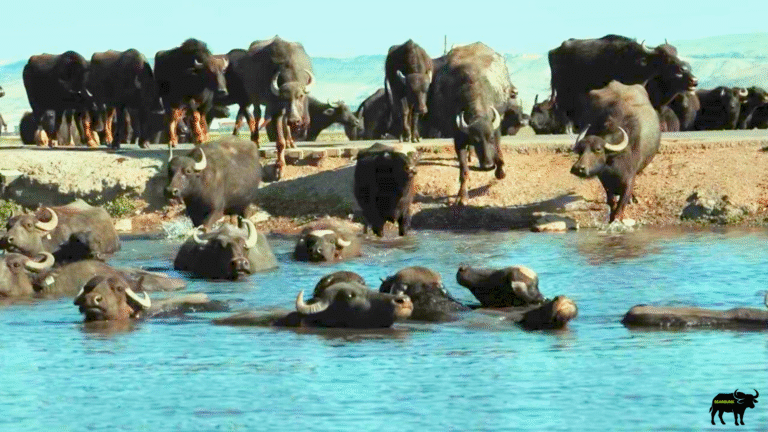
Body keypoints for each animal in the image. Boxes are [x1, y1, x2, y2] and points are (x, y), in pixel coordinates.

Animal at [428, 42, 514, 205]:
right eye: (475, 140)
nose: (488, 166)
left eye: (490, 138)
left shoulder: (496, 127)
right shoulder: (459, 138)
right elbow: (463, 169)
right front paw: (462, 196)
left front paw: (500, 170)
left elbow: (498, 148)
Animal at [570, 81, 661, 222]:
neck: (614, 161)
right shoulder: (604, 178)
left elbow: (621, 204)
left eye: (598, 149)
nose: (578, 168)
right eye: (580, 150)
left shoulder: (629, 178)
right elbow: (610, 200)